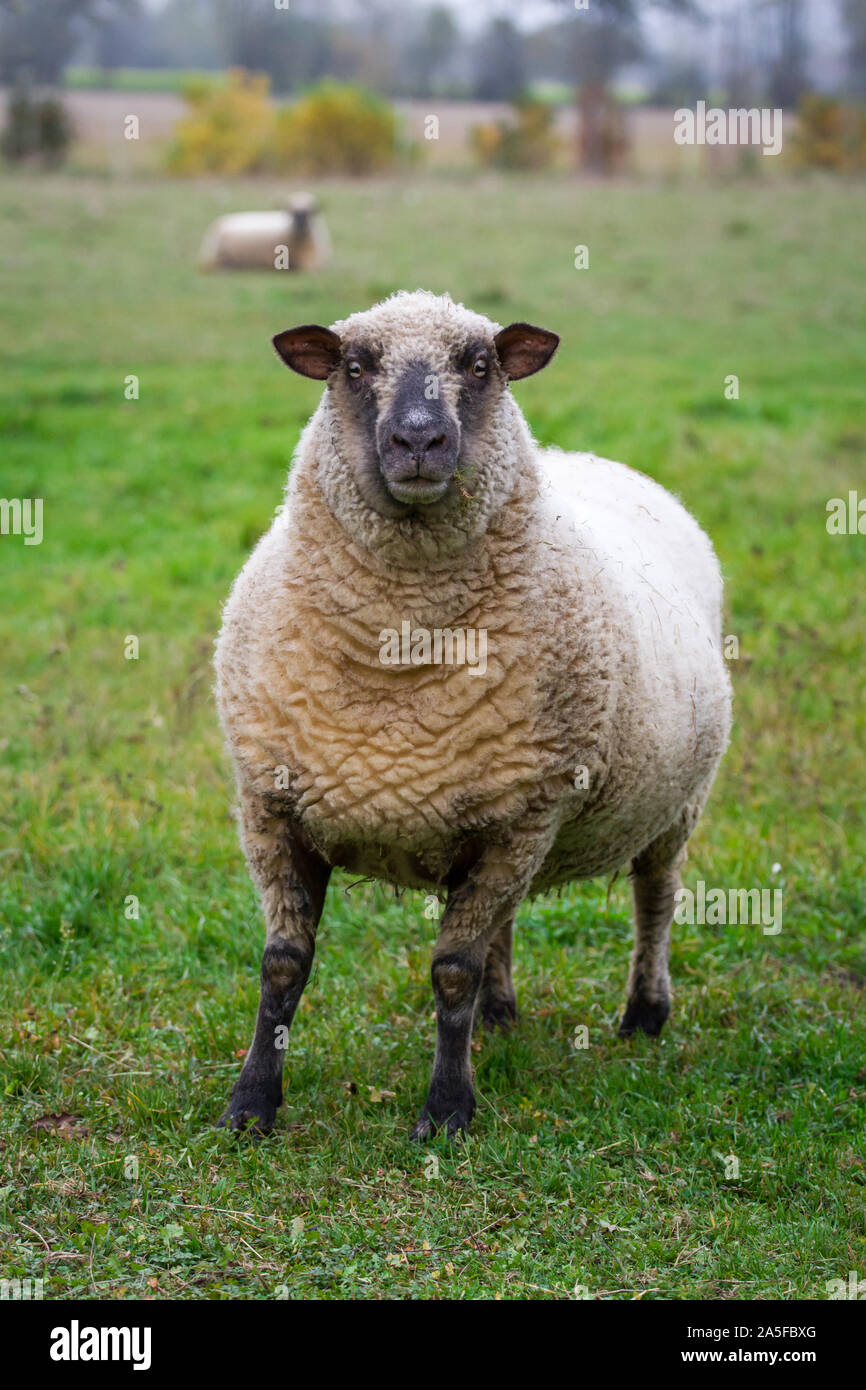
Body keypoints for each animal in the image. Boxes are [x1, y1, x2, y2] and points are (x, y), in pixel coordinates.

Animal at [214, 289, 732, 1140]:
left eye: (480, 364)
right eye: (353, 366)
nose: (419, 439)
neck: (398, 656)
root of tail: (590, 460)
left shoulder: (523, 815)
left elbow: (450, 971)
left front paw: (448, 1109)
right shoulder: (275, 803)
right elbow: (282, 966)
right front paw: (252, 1103)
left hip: (671, 801)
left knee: (654, 895)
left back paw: (644, 1014)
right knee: (505, 922)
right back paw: (501, 1013)